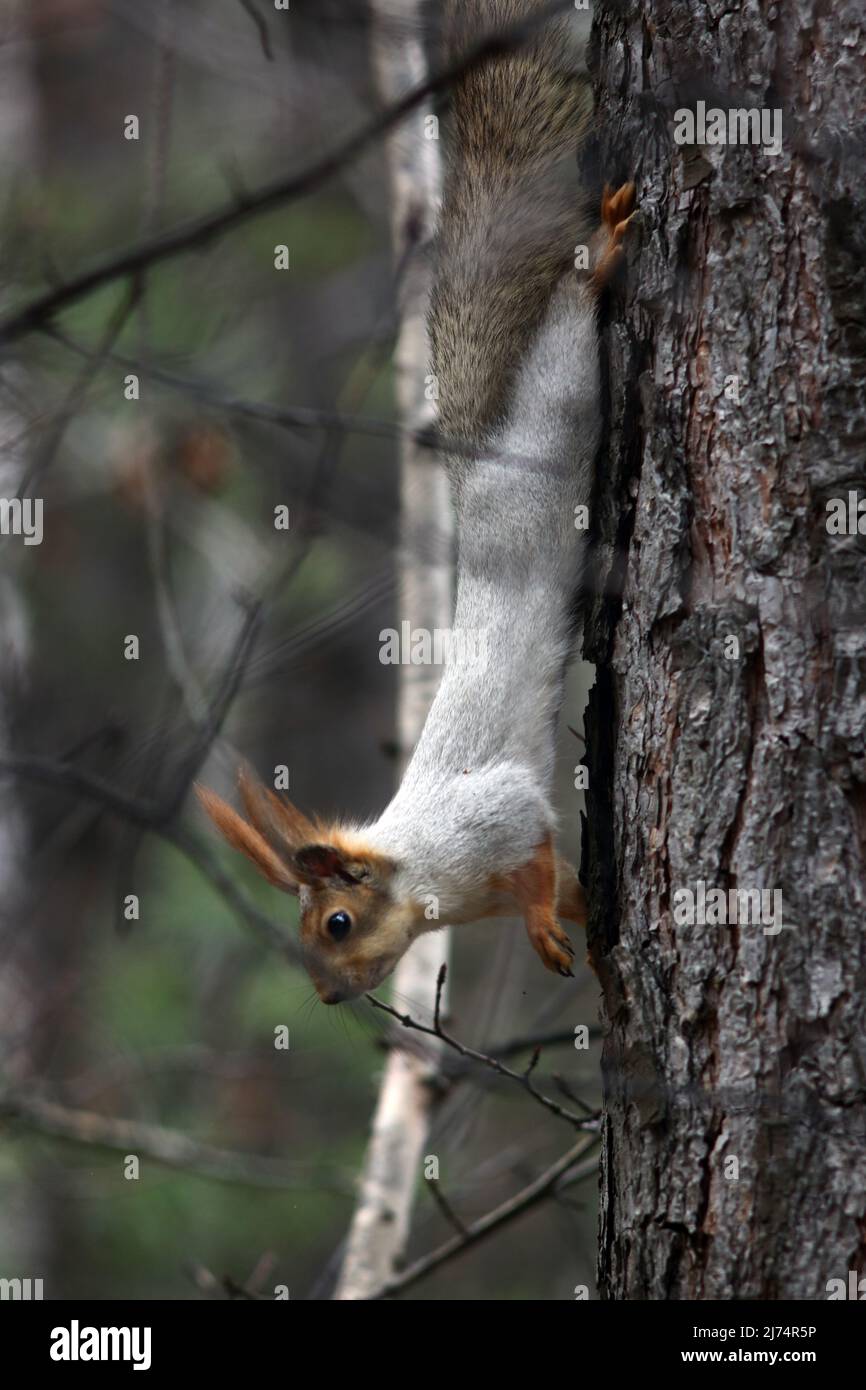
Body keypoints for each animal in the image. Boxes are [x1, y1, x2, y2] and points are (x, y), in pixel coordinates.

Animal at [197, 0, 635, 1004]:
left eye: (338, 922)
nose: (327, 994)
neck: (428, 875)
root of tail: (480, 471)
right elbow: (565, 887)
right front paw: (586, 941)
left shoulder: (493, 815)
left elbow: (536, 843)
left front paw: (544, 929)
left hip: (559, 393)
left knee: (568, 308)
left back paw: (605, 249)